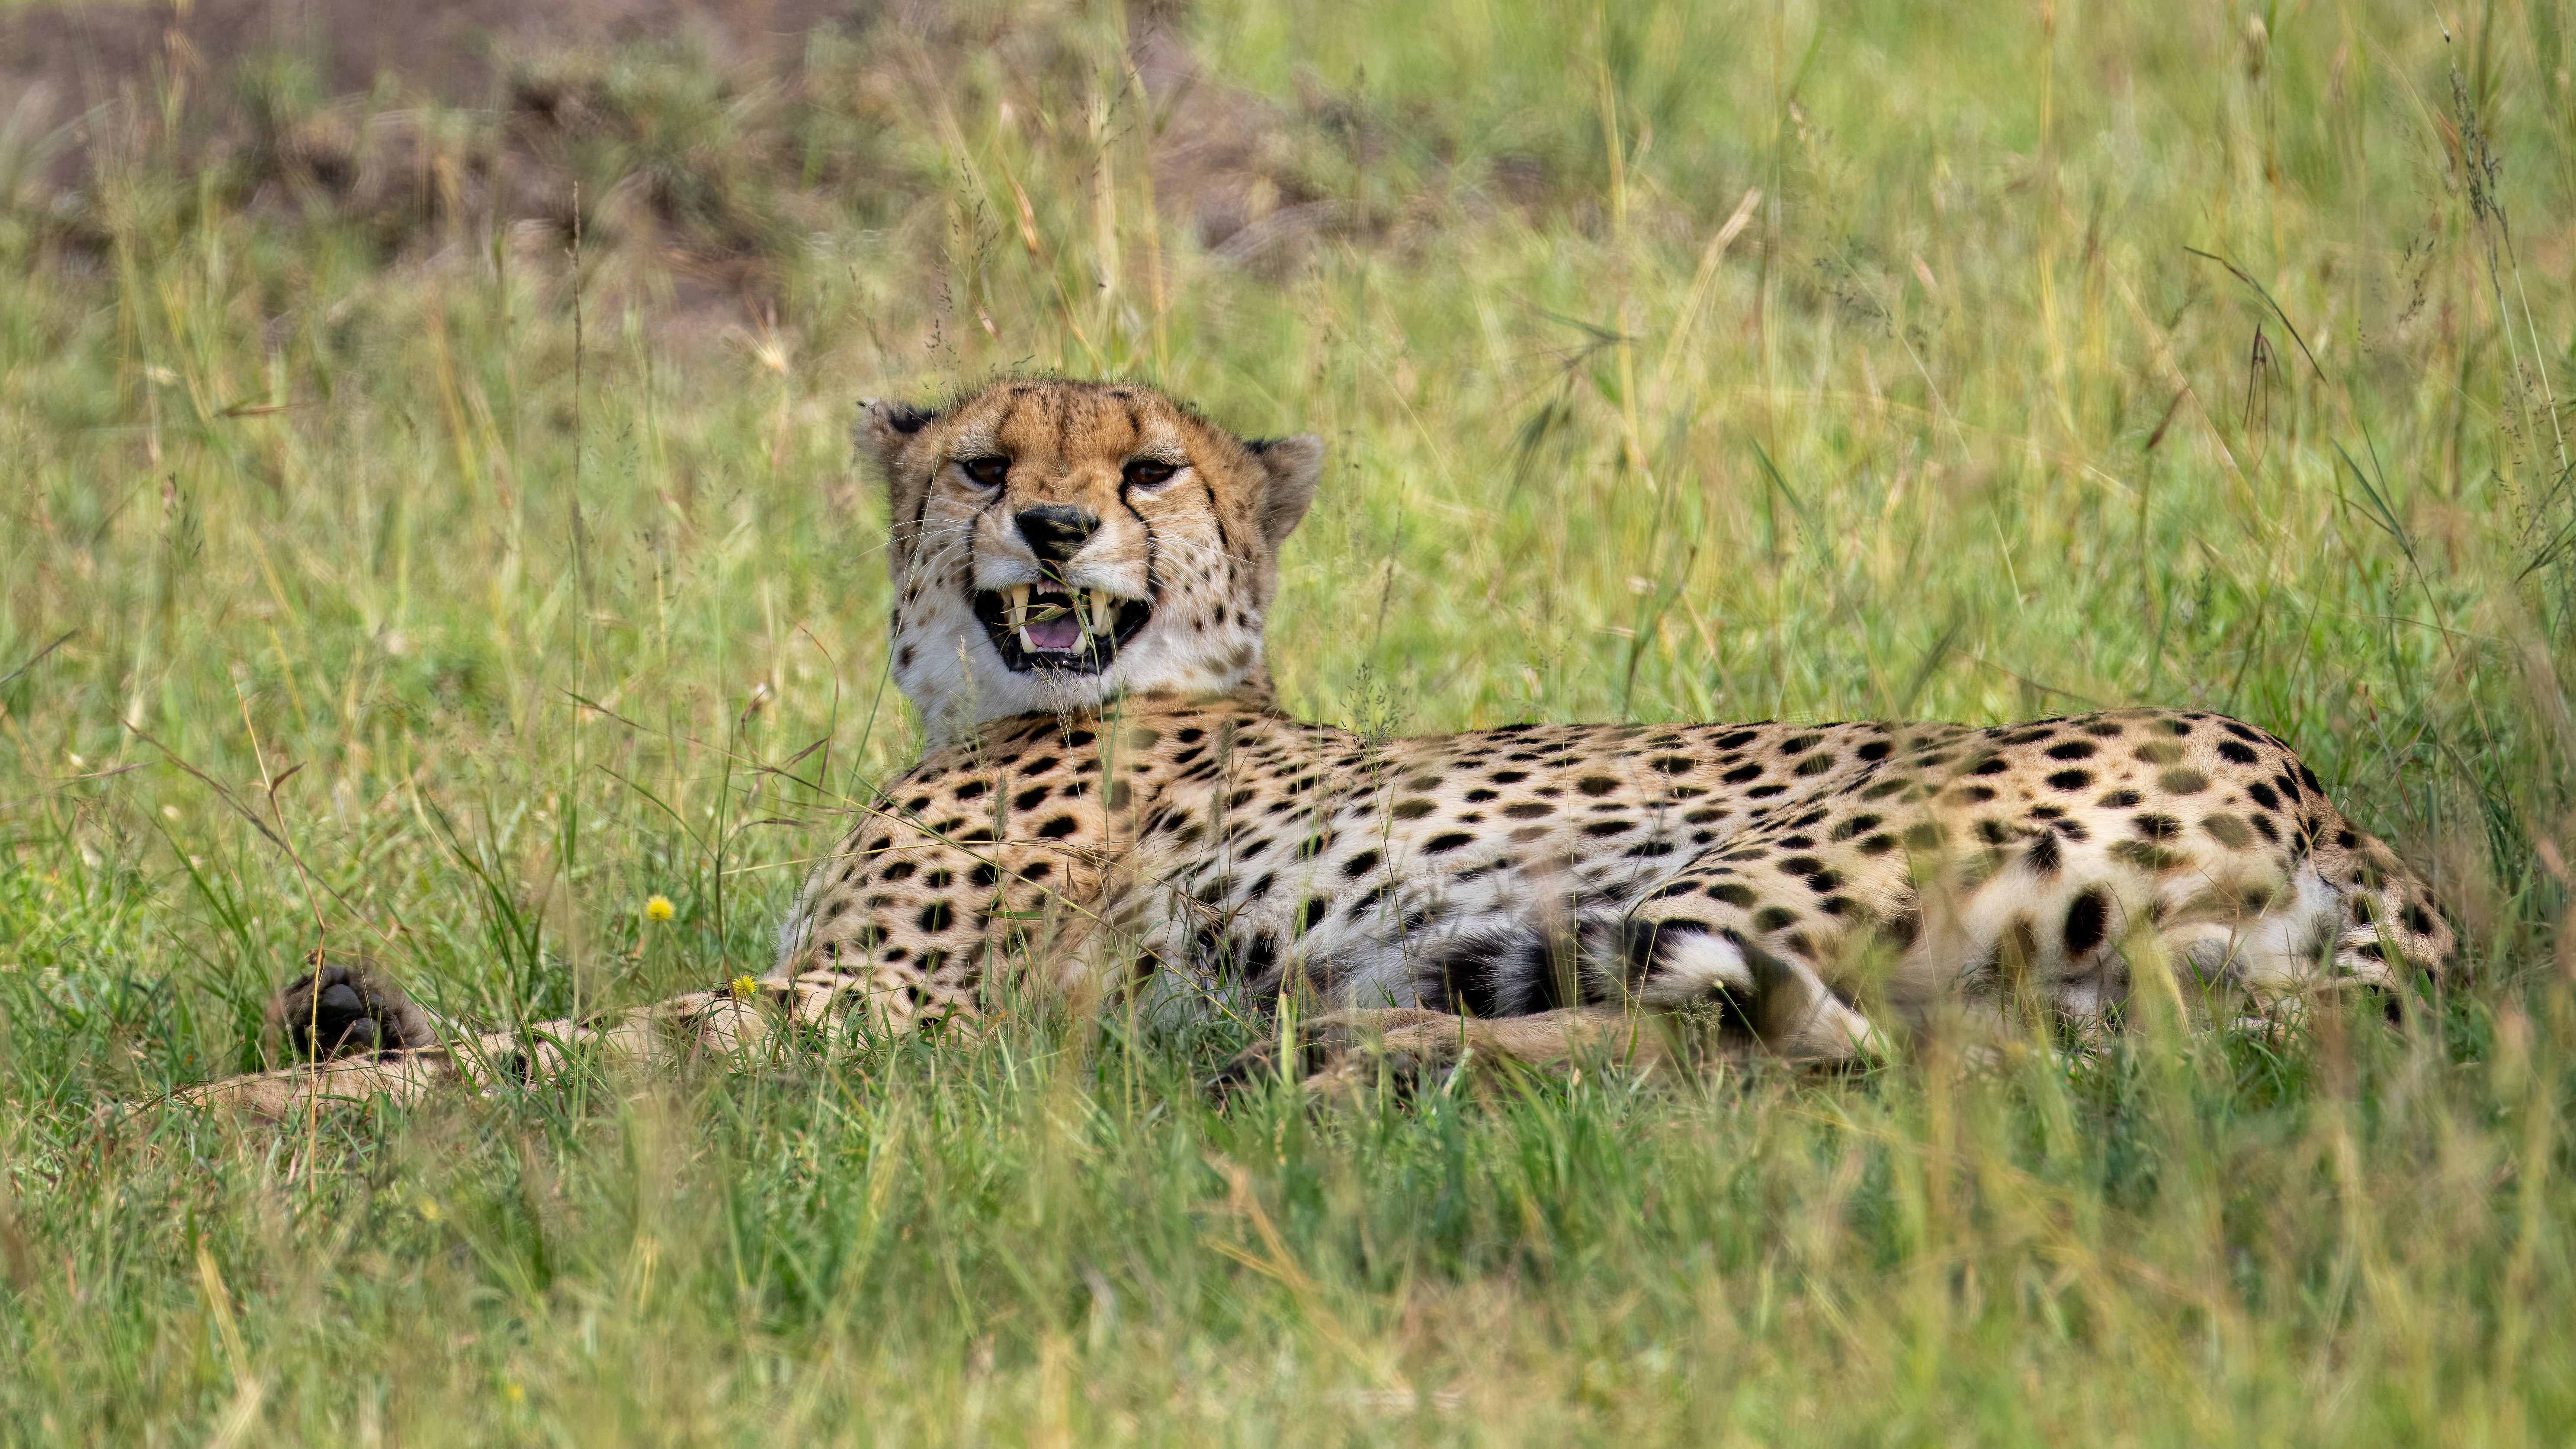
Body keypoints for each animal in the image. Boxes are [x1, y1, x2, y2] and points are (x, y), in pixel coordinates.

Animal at [182, 378, 2456, 1115]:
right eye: (988, 461)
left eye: (1144, 470)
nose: (1052, 531)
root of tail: (2337, 807)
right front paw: (334, 1011)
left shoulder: (884, 1010)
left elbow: (577, 1045)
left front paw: (216, 1115)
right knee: (1825, 1046)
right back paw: (1364, 1046)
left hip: (1782, 857)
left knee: (1775, 1043)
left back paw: (1358, 1056)